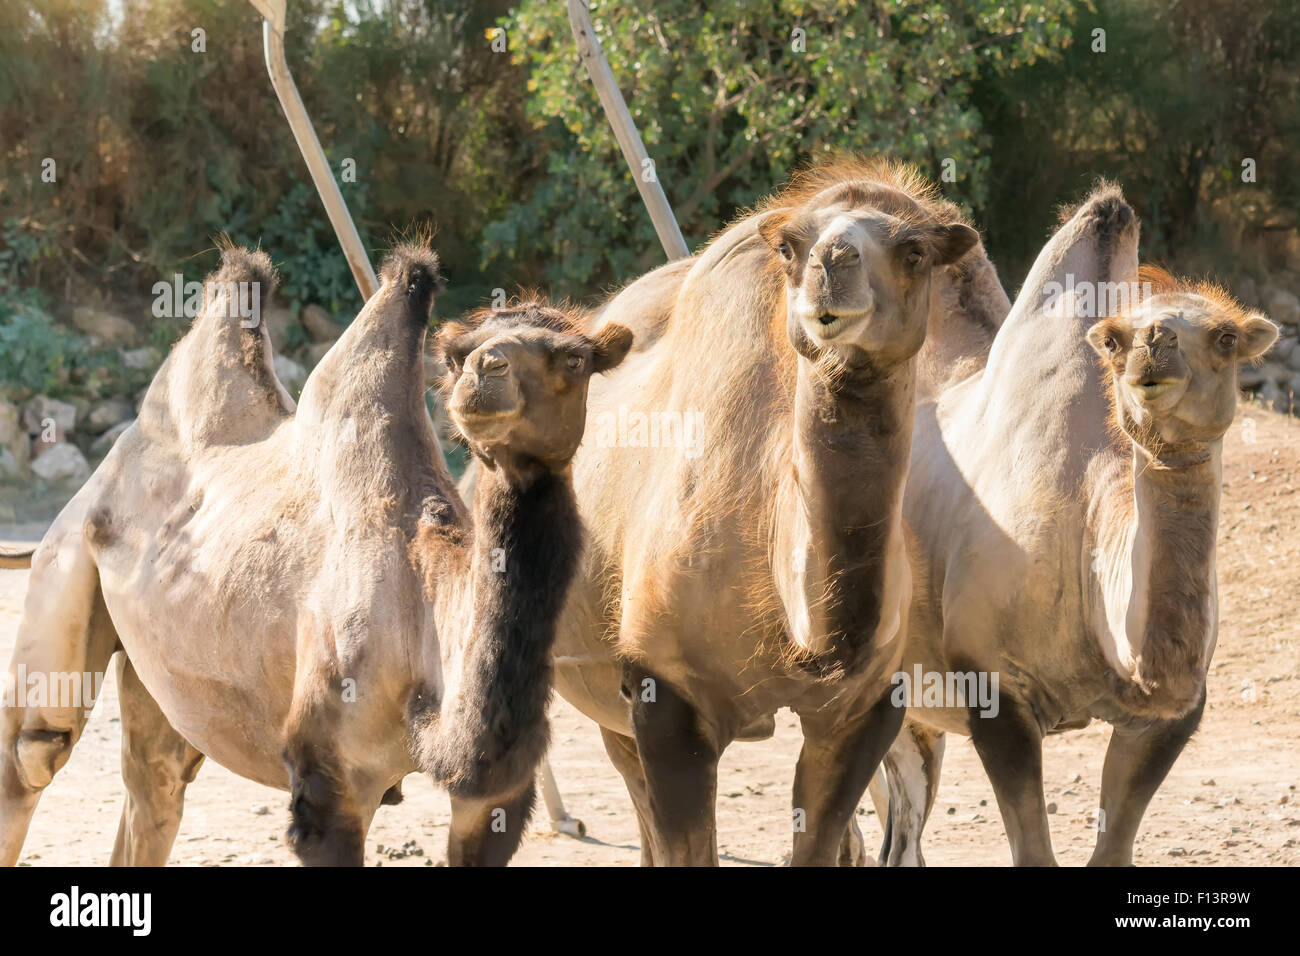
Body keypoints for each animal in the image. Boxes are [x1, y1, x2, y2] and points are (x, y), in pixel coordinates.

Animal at [0, 243, 632, 866]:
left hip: (161, 665)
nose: (484, 372)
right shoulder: (329, 778)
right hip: (65, 559)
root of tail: (108, 467)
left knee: (156, 784)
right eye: (455, 356)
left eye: (573, 360)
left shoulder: (494, 799)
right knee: (34, 751)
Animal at [546, 158, 991, 865]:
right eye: (789, 247)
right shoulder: (663, 692)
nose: (833, 261)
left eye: (914, 250)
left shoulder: (863, 708)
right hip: (606, 694)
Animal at [871, 185, 1278, 866]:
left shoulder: (1169, 717)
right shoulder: (995, 693)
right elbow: (1034, 851)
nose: (1156, 341)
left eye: (1225, 336)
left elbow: (1112, 849)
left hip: (910, 706)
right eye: (1113, 339)